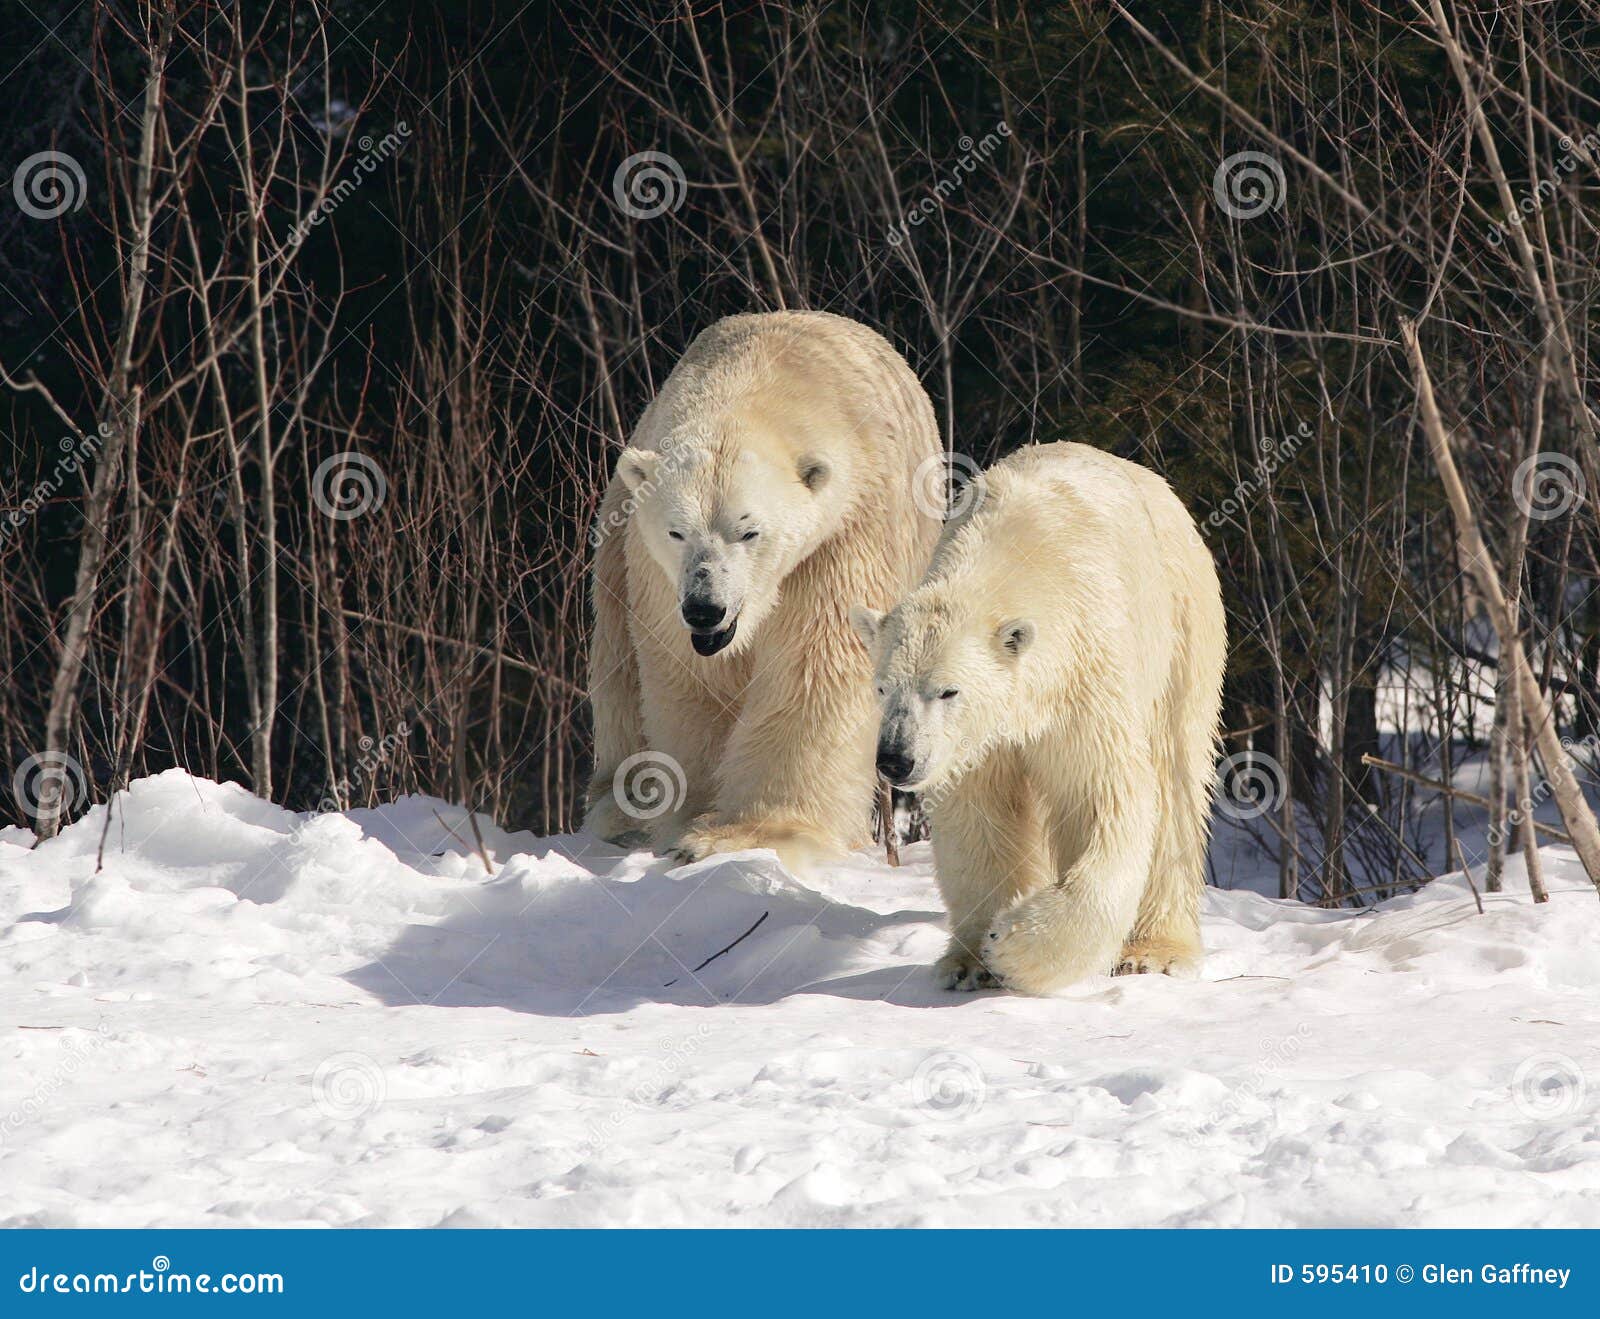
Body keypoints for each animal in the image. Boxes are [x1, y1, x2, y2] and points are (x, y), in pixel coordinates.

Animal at [584, 311, 944, 869]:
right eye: (676, 531)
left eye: (749, 531)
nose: (705, 610)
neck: (764, 373)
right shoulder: (654, 571)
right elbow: (689, 676)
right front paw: (690, 820)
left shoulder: (846, 533)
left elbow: (816, 662)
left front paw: (751, 833)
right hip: (616, 532)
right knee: (617, 661)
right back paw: (621, 809)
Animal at [850, 442, 1226, 994]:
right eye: (882, 687)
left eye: (947, 690)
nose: (896, 759)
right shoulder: (978, 741)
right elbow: (979, 817)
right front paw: (968, 962)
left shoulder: (1086, 679)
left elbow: (1102, 798)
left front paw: (1011, 945)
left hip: (1183, 631)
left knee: (1176, 780)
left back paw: (1155, 951)